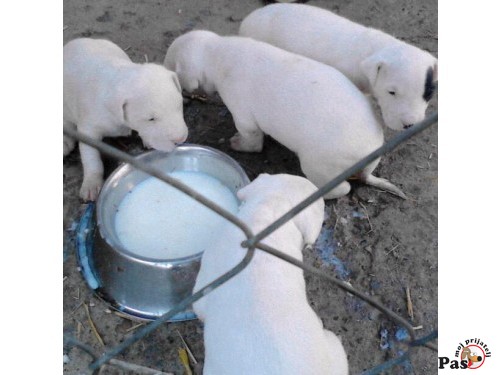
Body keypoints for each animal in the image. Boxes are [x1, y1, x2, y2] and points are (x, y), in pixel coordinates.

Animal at [62, 38, 188, 201]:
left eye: (179, 106)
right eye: (151, 119)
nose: (180, 139)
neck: (119, 76)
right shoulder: (89, 128)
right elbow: (91, 156)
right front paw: (91, 183)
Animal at [165, 30, 406, 200]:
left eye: (171, 66)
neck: (216, 52)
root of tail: (369, 154)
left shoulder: (243, 115)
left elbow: (251, 140)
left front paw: (236, 143)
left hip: (319, 166)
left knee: (342, 189)